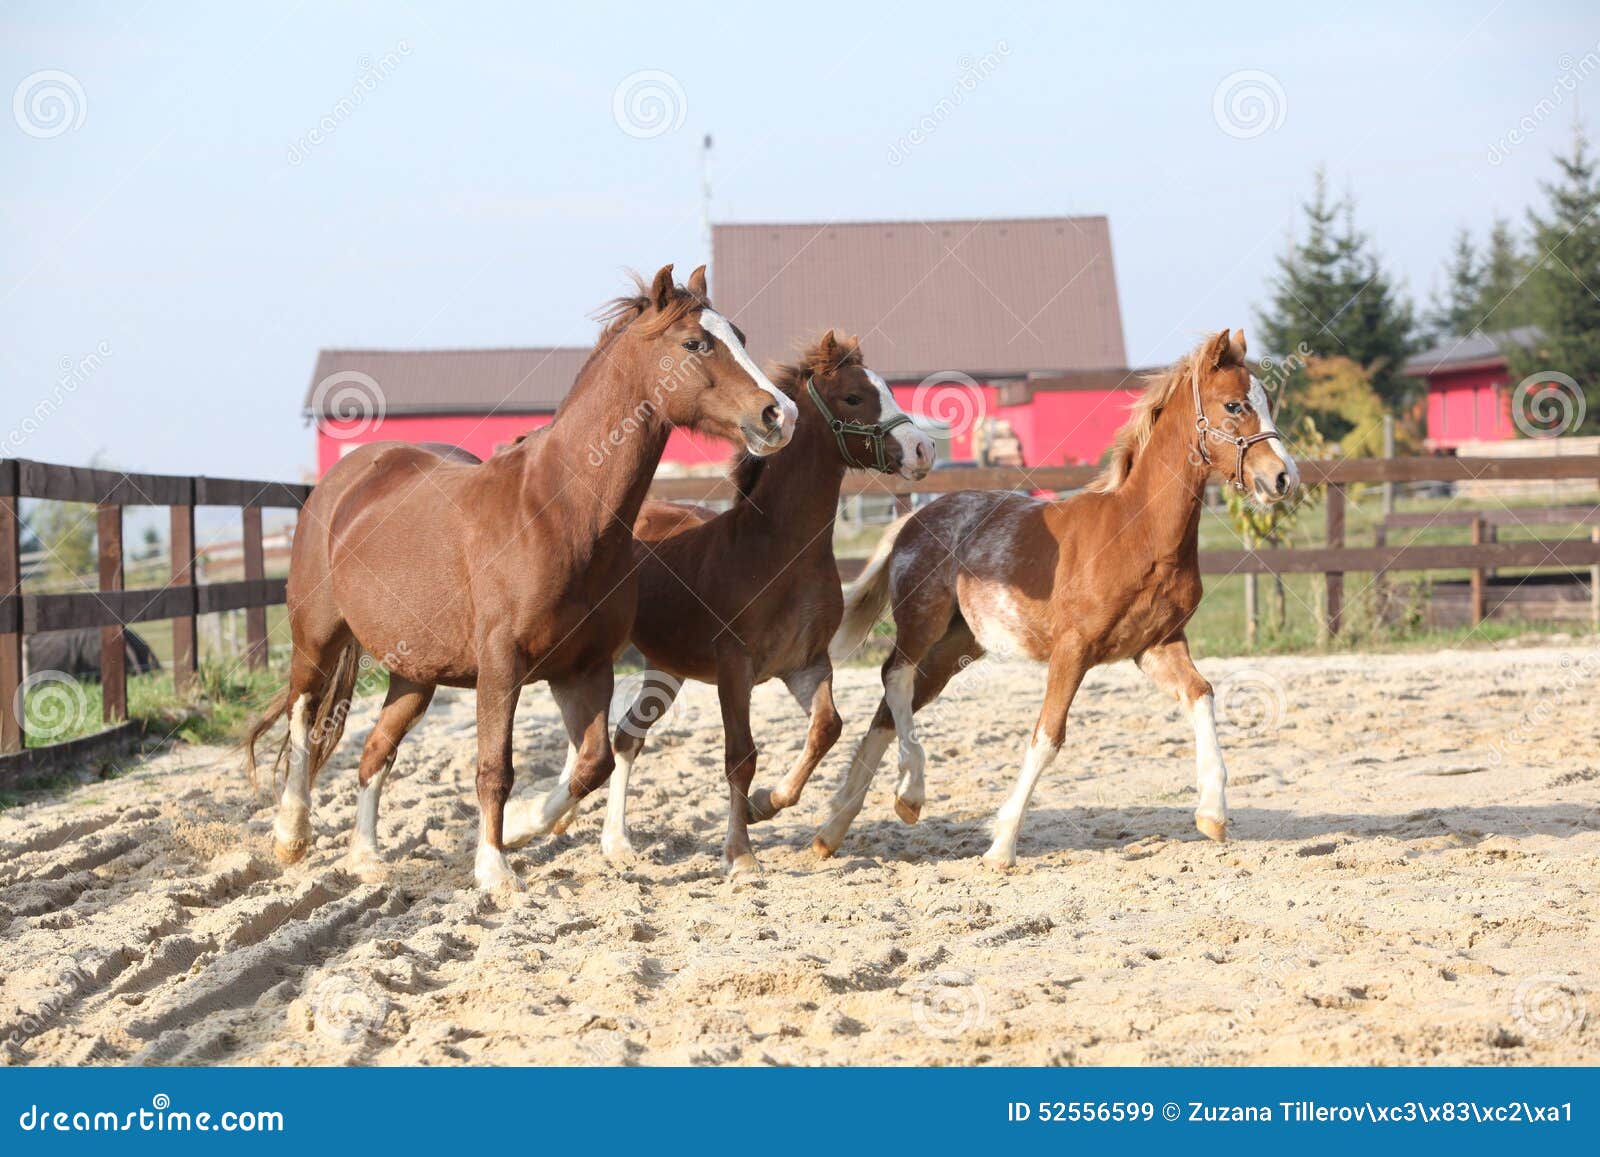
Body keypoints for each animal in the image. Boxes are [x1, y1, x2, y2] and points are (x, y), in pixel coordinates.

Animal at [245, 265, 798, 891]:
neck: (560, 513)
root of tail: (346, 479)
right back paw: (291, 835)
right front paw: (494, 868)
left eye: (740, 337)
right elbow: (495, 768)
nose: (779, 414)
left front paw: (526, 826)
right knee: (305, 720)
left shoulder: (584, 669)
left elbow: (594, 762)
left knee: (375, 751)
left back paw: (365, 858)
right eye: (695, 344)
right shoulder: (501, 666)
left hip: (415, 673)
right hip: (316, 638)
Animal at [512, 331, 934, 876]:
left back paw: (612, 840)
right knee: (593, 733)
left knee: (625, 737)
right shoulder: (736, 667)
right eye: (854, 397)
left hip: (666, 666)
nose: (923, 449)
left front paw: (764, 805)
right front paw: (740, 853)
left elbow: (827, 728)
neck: (778, 550)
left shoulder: (805, 665)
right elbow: (741, 756)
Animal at [817, 328, 1299, 868]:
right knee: (894, 678)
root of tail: (913, 519)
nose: (1284, 478)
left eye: (1266, 401)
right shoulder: (1074, 649)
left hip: (955, 648)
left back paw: (833, 829)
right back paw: (909, 793)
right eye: (1234, 404)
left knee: (888, 707)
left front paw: (1213, 814)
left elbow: (1202, 694)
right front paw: (1001, 845)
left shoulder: (1157, 646)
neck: (1140, 533)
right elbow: (1048, 736)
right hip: (923, 622)